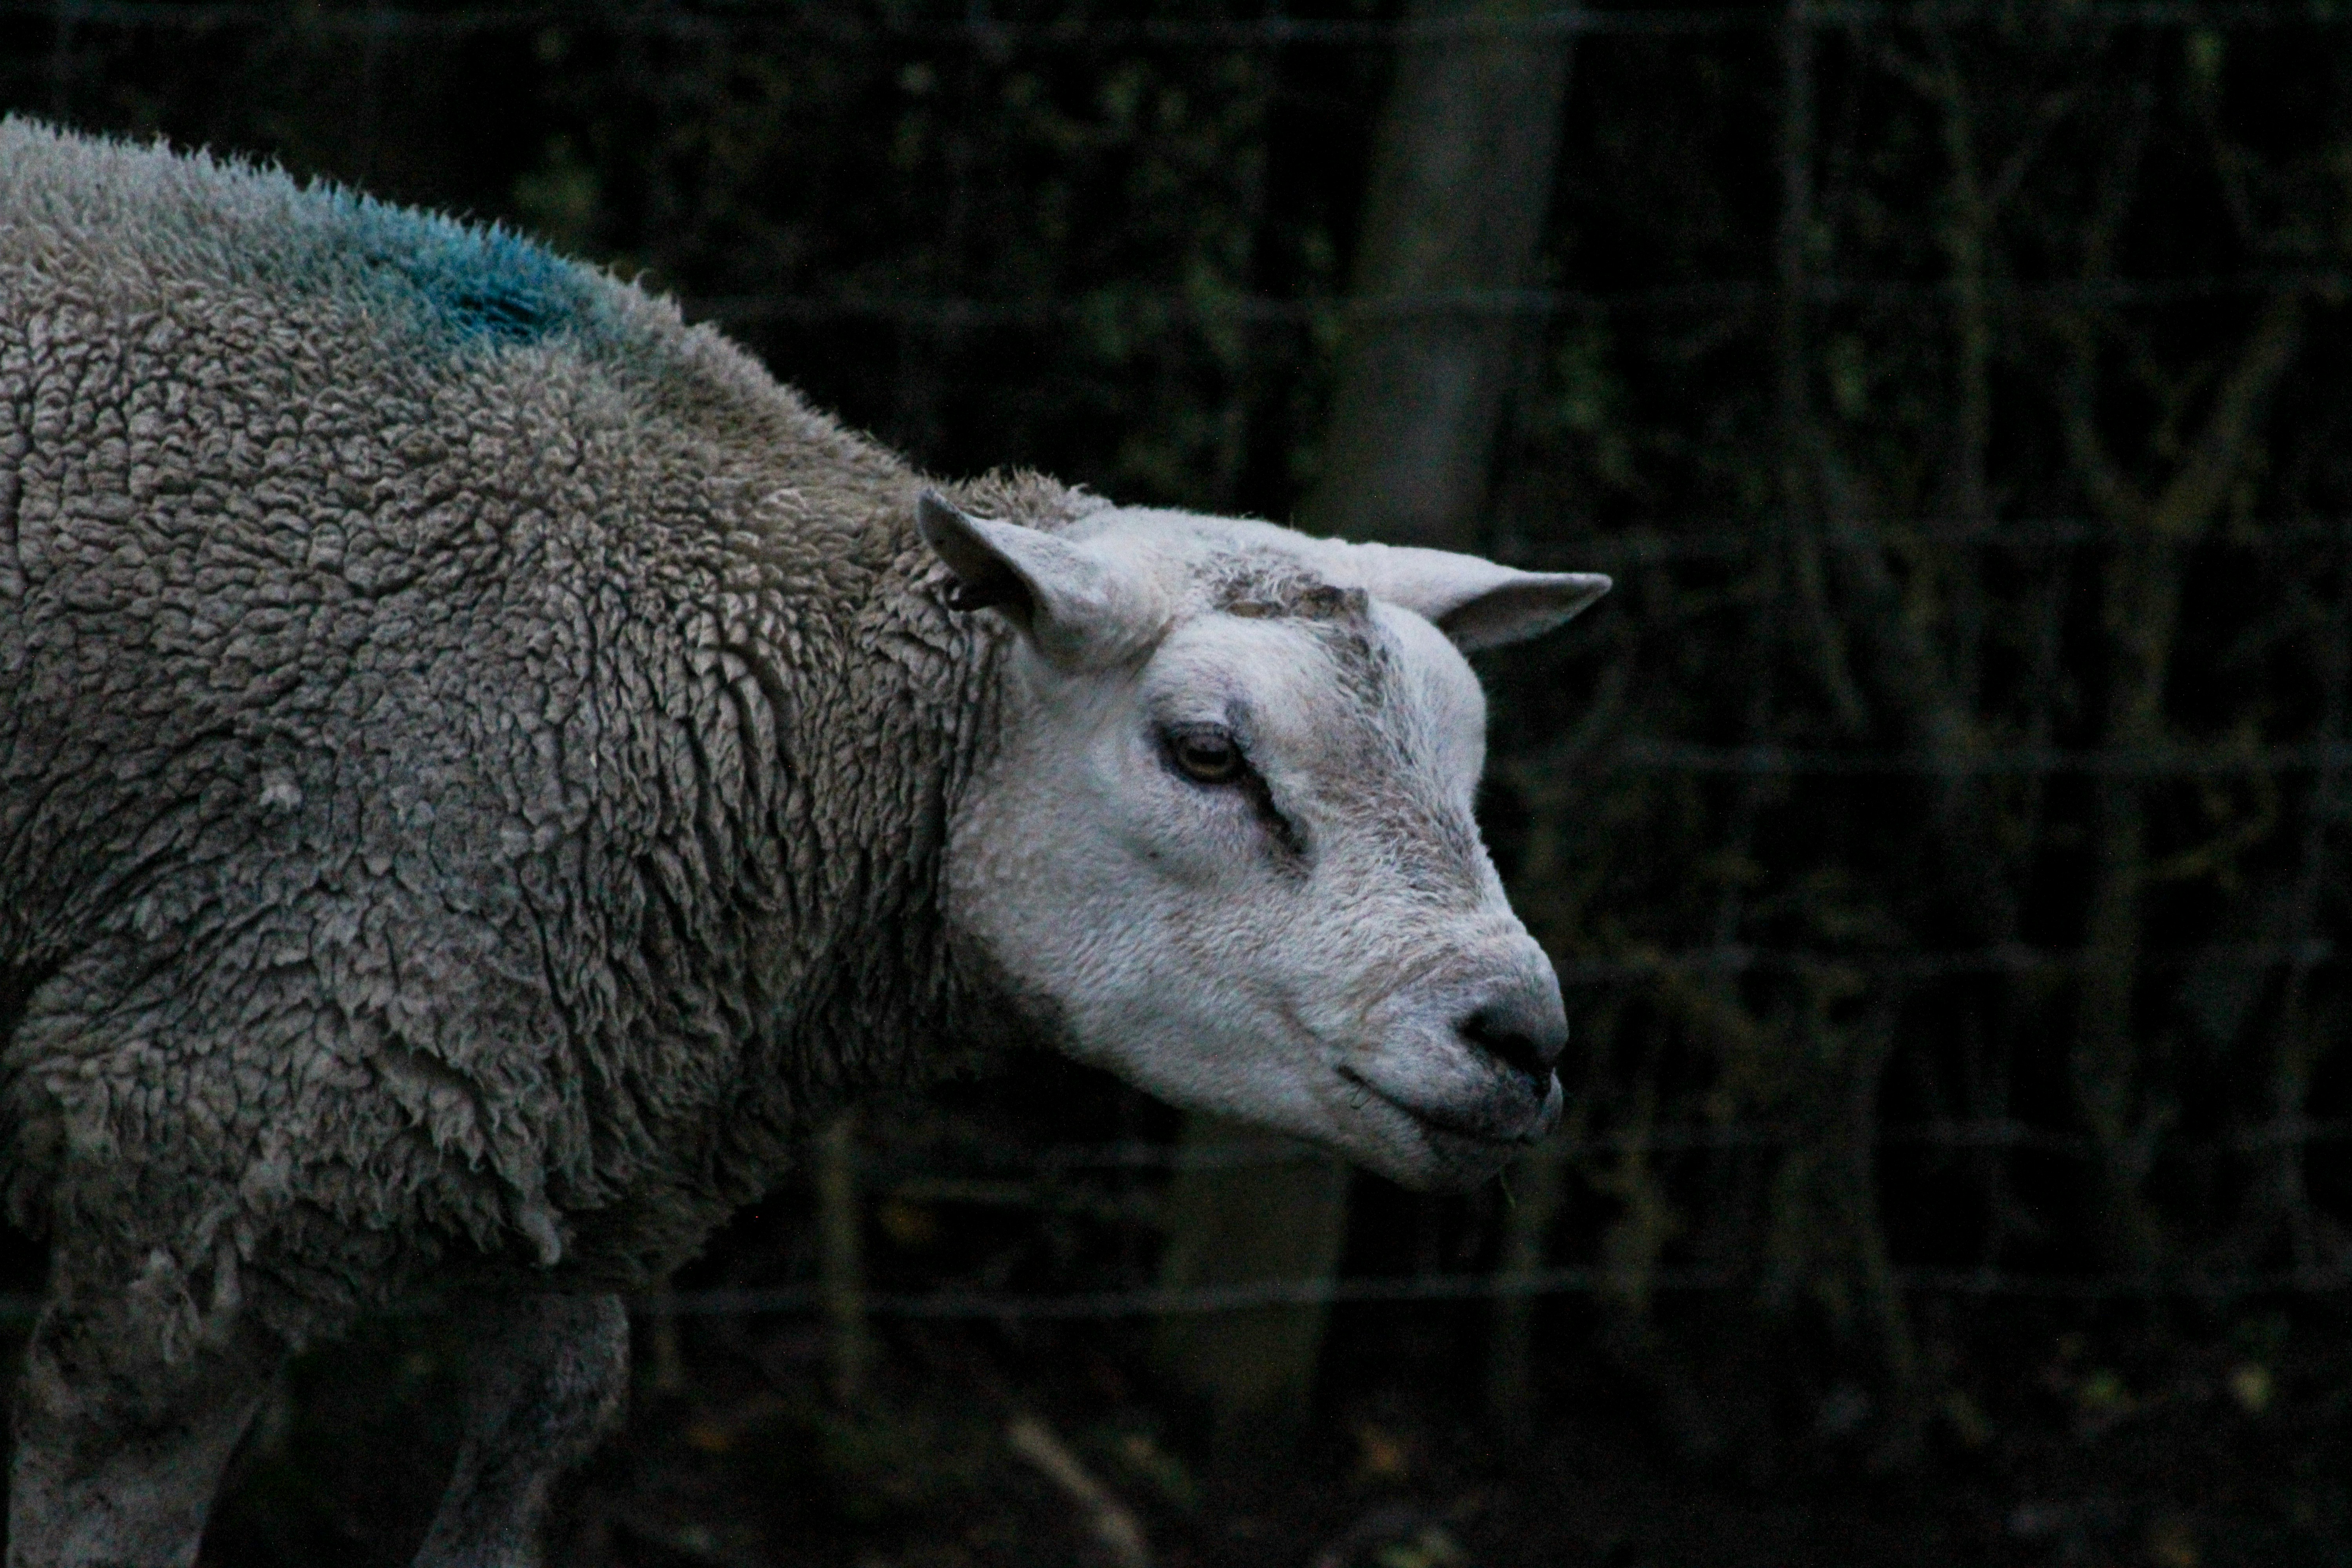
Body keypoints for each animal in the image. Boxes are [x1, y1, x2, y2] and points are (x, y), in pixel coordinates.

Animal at [0, 118, 1609, 1567]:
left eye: (1465, 753)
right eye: (1205, 752)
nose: (1521, 1037)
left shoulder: (566, 1160)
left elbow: (540, 1428)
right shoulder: (193, 1185)